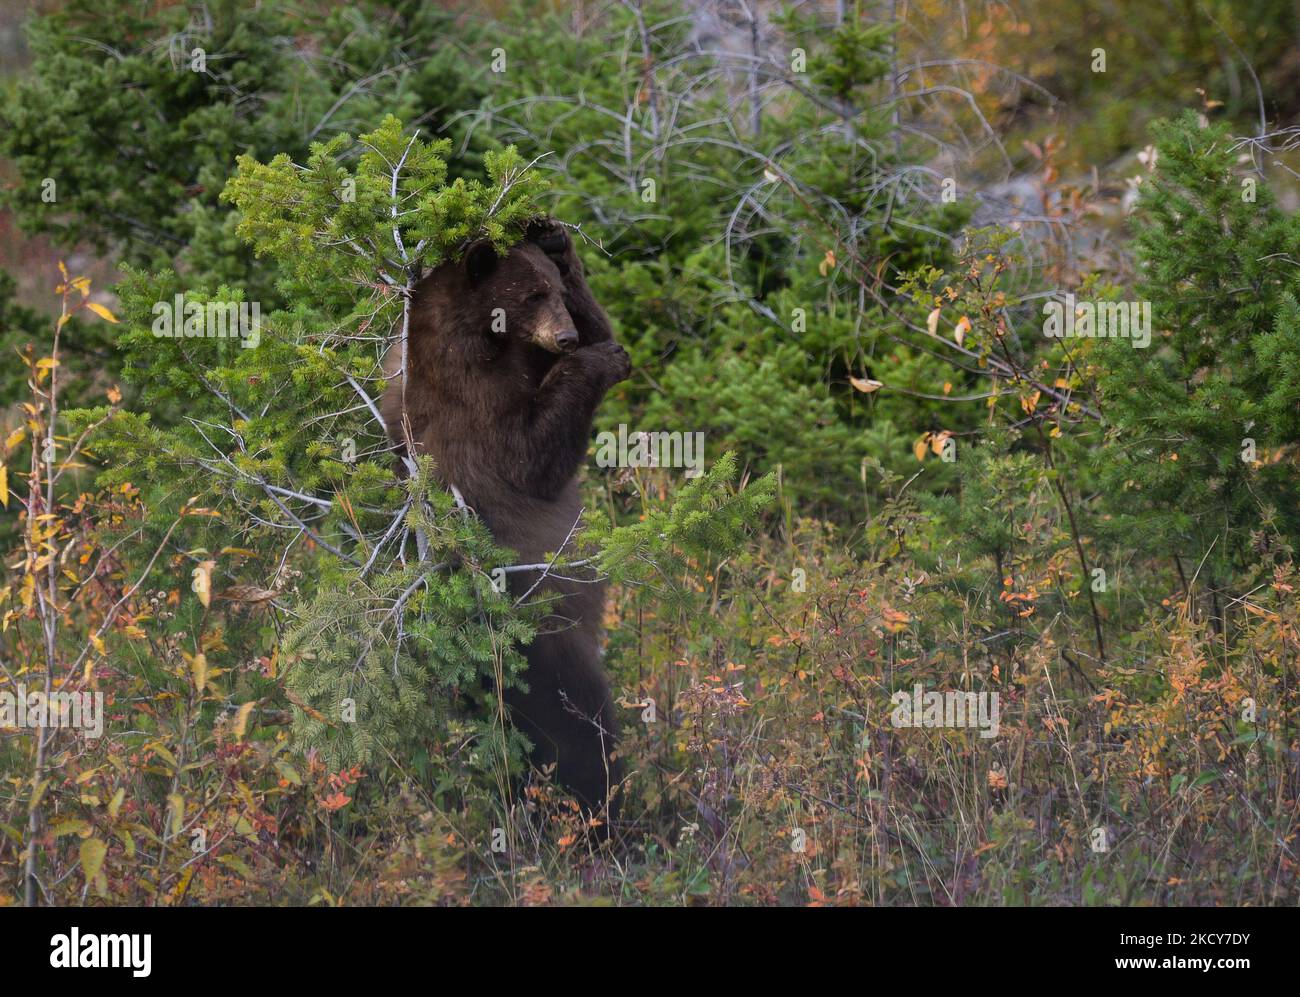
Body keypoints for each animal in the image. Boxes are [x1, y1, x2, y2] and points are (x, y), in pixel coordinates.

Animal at [380, 218, 630, 826]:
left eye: (555, 292)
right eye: (531, 296)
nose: (565, 339)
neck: (490, 342)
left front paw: (554, 237)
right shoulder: (471, 404)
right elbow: (534, 459)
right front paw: (604, 359)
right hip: (547, 646)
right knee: (581, 731)